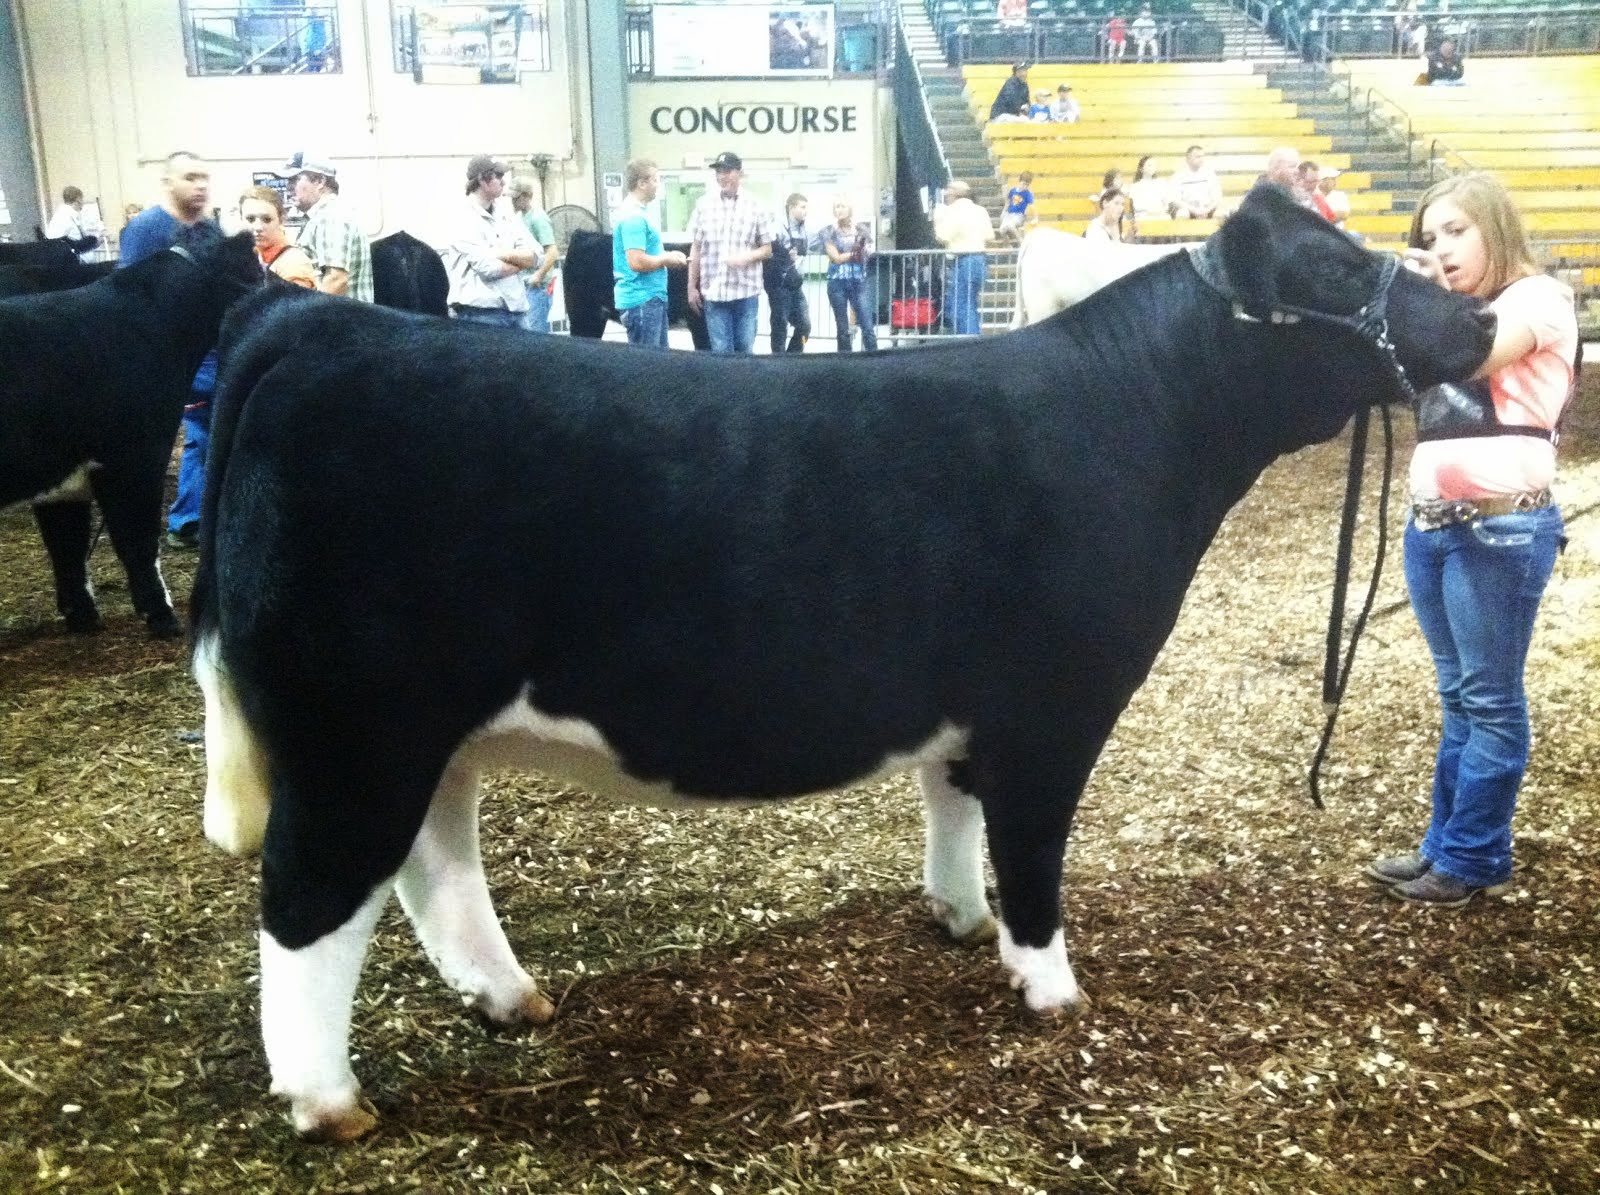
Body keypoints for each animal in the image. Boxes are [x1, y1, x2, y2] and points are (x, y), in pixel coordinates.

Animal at [1, 229, 262, 637]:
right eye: (256, 267)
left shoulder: (61, 475)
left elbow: (67, 544)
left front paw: (82, 616)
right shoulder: (134, 457)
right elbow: (137, 539)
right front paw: (162, 615)